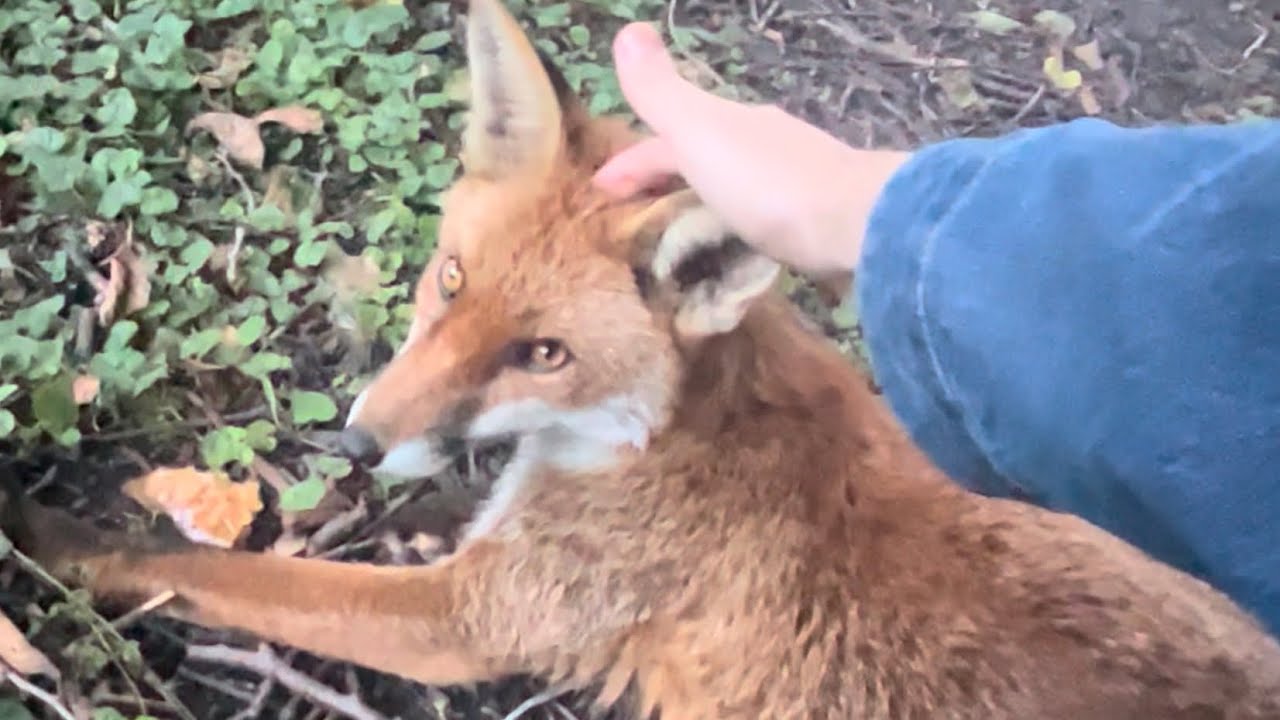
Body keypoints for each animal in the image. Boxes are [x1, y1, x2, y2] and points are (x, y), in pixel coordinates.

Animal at [3, 0, 1280, 718]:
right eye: (448, 284)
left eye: (541, 351)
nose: (354, 442)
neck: (639, 444)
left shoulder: (467, 620)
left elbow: (198, 568)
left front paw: (44, 541)